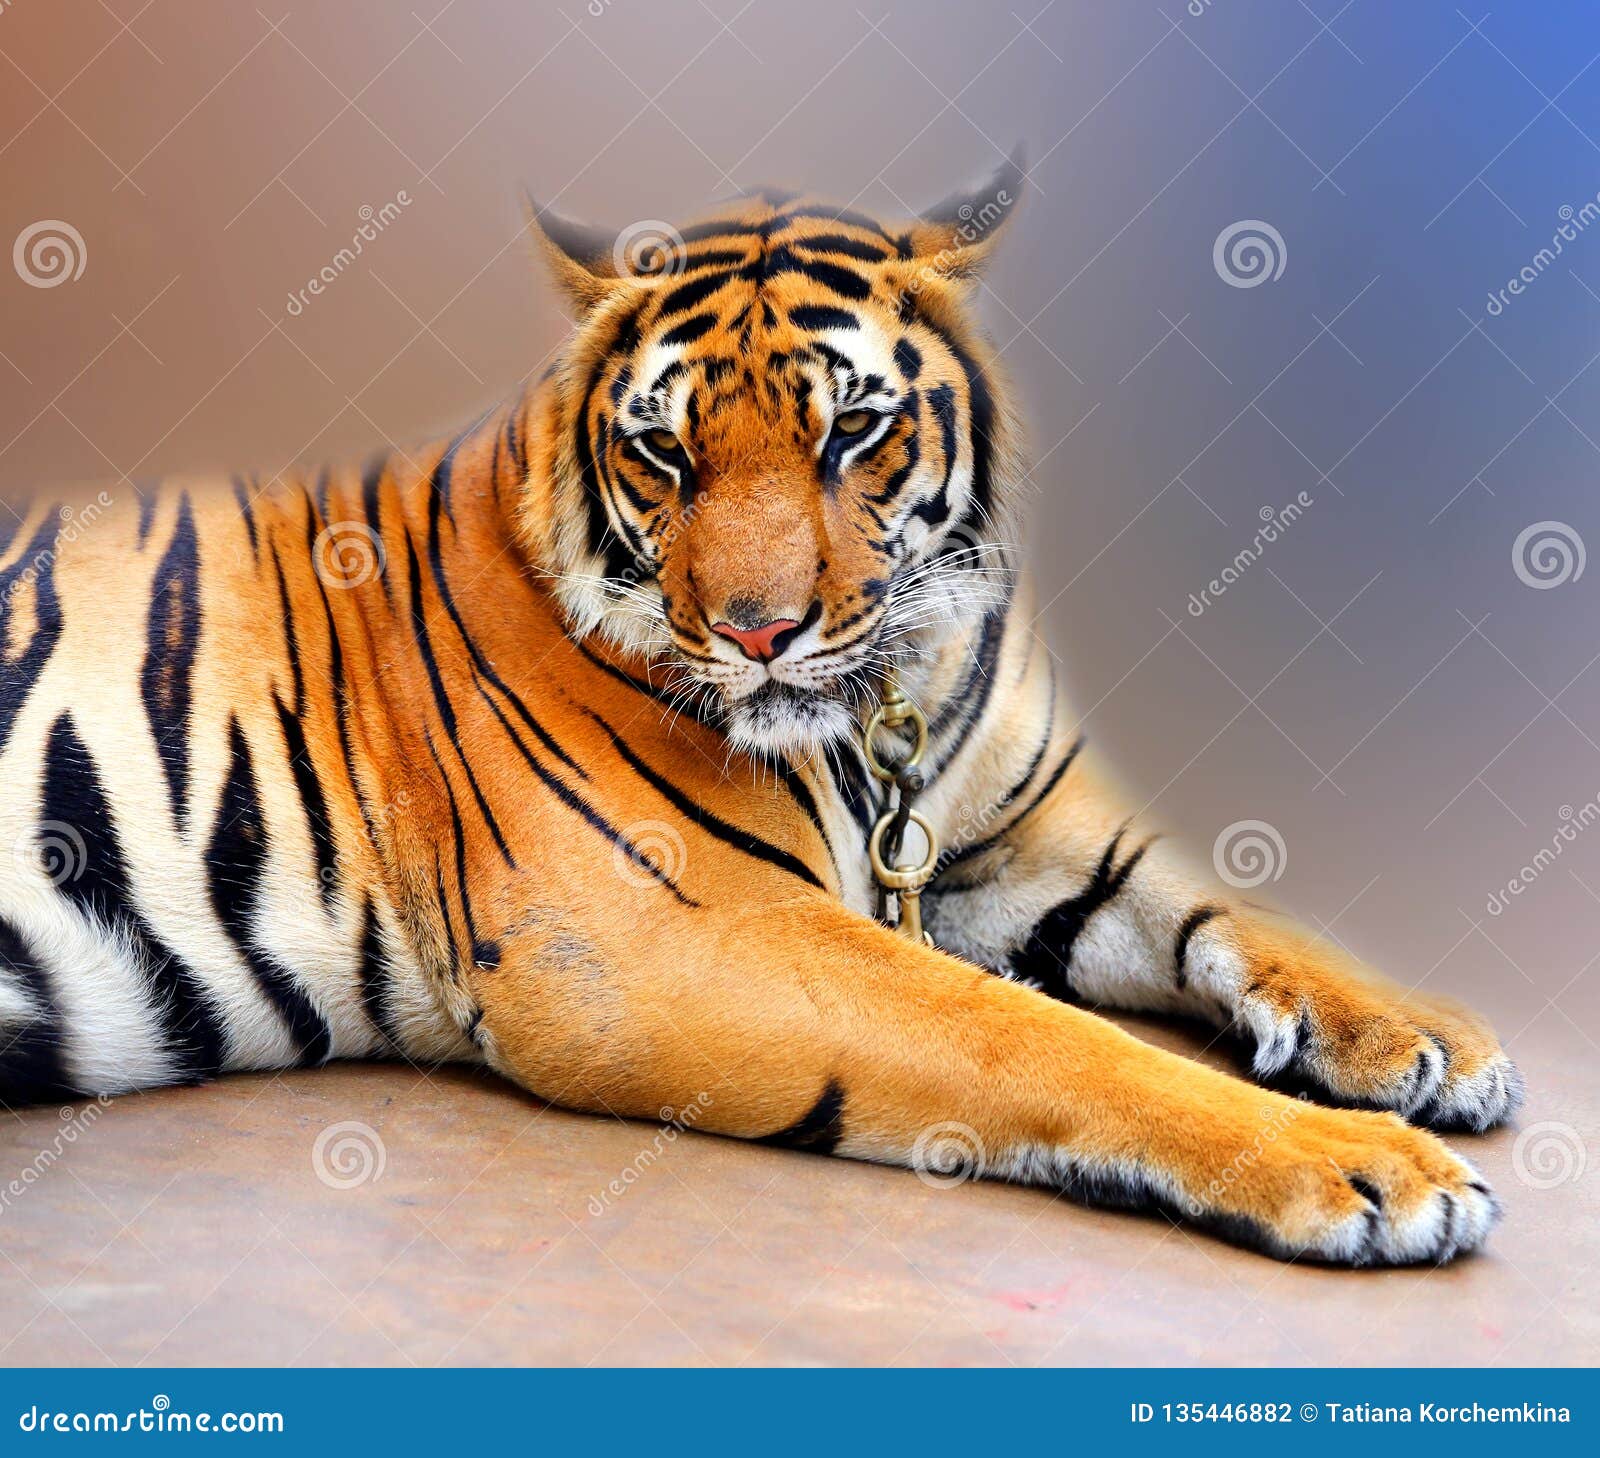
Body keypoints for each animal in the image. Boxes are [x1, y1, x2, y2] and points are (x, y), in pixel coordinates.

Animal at [0, 156, 1522, 1267]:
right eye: (663, 449)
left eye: (853, 430)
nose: (756, 632)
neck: (895, 697)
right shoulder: (682, 931)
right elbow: (1032, 1032)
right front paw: (1366, 1167)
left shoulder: (1025, 838)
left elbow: (1232, 908)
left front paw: (1431, 1041)